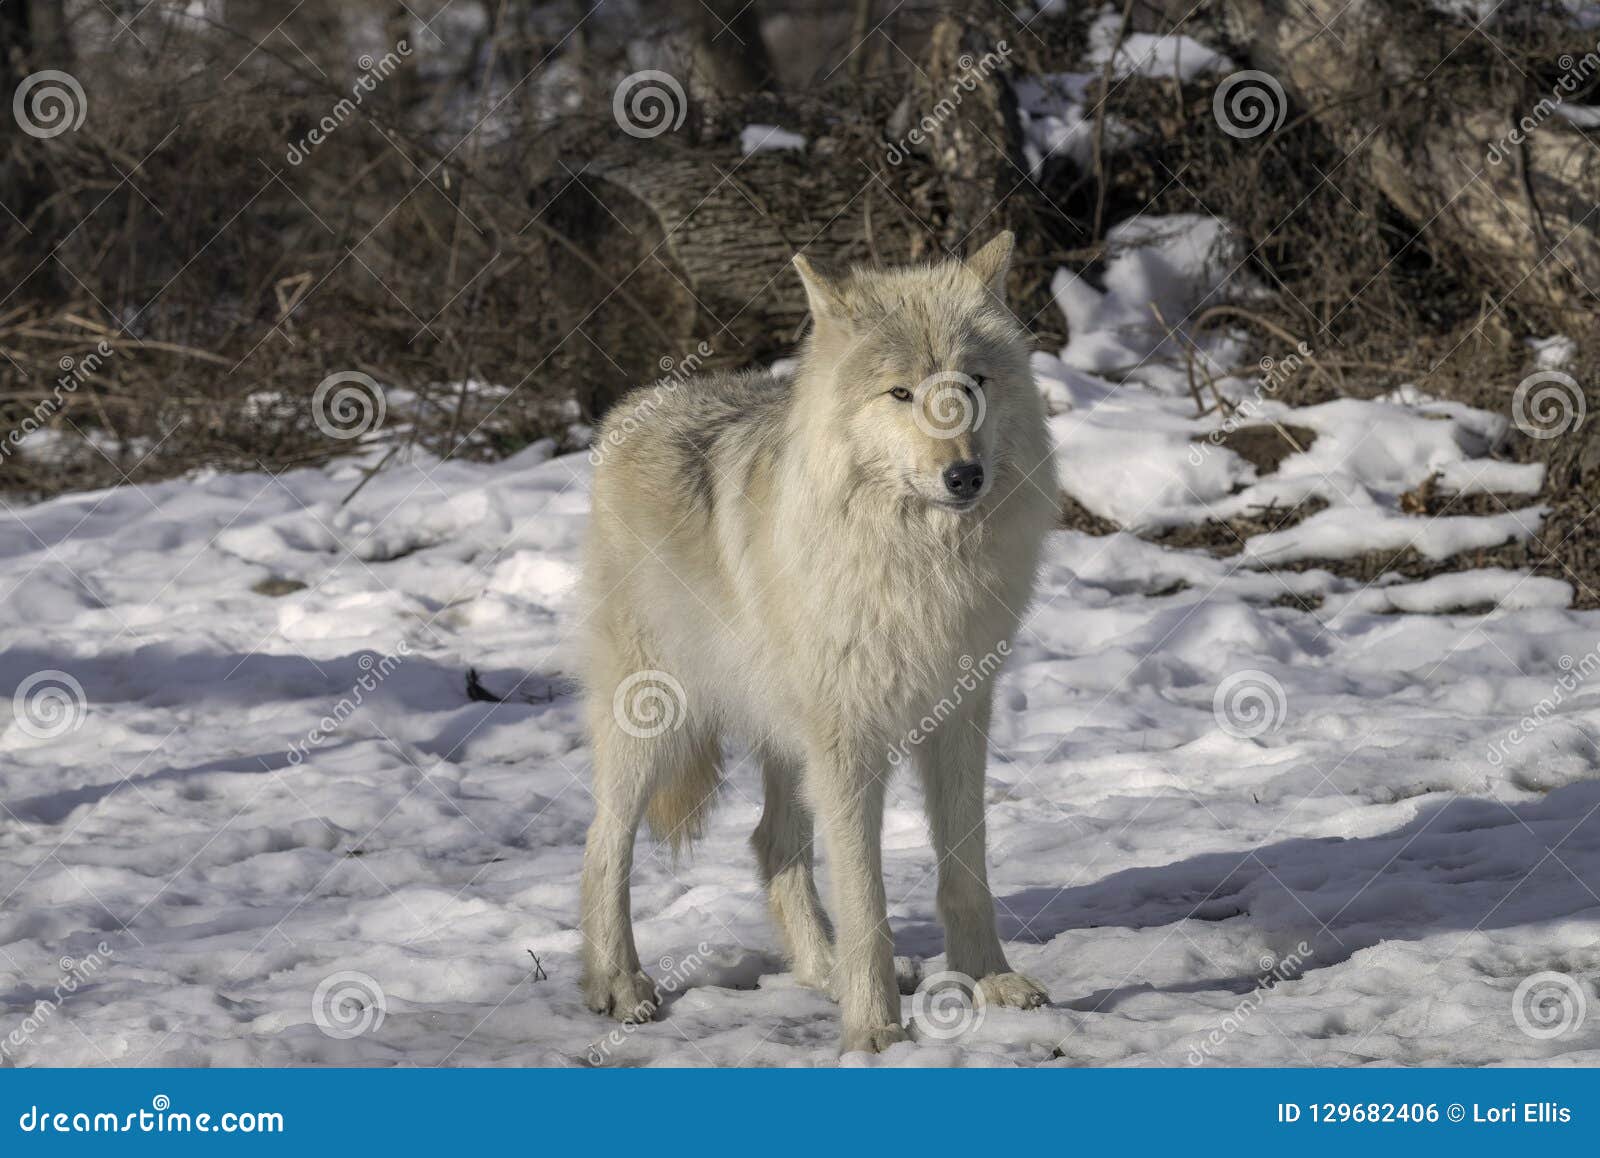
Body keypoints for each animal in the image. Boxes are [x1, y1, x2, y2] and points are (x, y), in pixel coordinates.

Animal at [578, 232, 1059, 1054]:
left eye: (972, 383)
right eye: (900, 393)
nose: (964, 474)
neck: (920, 563)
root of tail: (634, 408)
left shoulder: (960, 714)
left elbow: (966, 873)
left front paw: (989, 981)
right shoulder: (847, 739)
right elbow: (866, 900)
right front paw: (875, 1030)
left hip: (785, 737)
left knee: (772, 845)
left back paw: (822, 971)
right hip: (655, 725)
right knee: (603, 847)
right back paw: (622, 986)